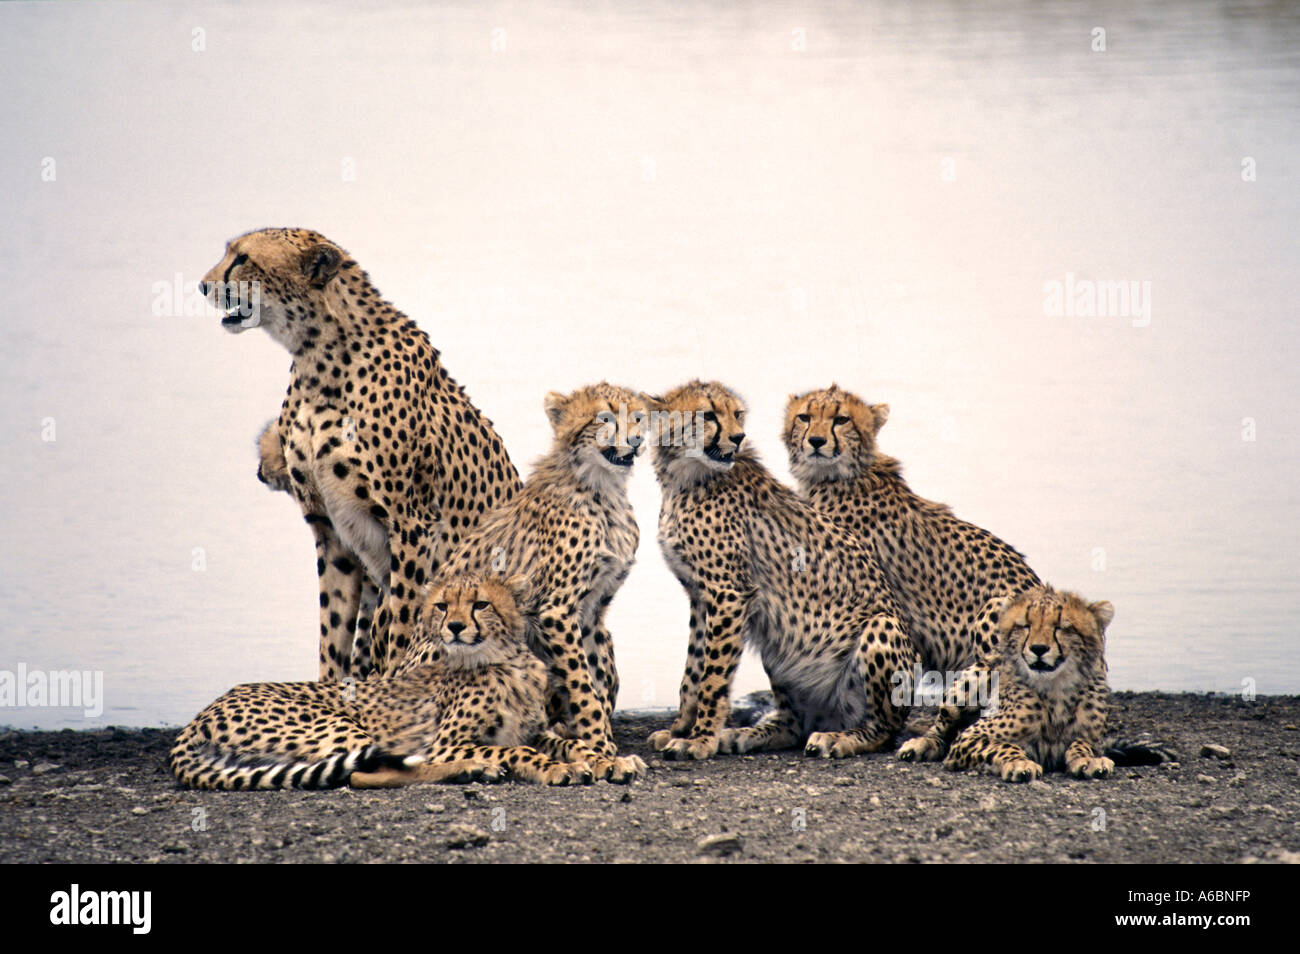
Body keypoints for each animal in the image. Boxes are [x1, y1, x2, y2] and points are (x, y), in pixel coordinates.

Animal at [168, 574, 624, 789]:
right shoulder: (445, 742)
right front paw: (554, 768)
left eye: (480, 604)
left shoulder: (536, 729)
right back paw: (472, 769)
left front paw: (608, 761)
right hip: (342, 727)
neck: (504, 663)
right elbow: (516, 751)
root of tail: (201, 714)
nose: (454, 627)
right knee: (363, 773)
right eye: (442, 606)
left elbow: (569, 742)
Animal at [201, 228, 522, 681]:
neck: (317, 358)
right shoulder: (330, 529)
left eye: (243, 258)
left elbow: (404, 619)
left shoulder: (411, 524)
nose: (203, 285)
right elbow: (332, 630)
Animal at [397, 382, 648, 779]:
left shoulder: (592, 613)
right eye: (605, 418)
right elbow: (584, 689)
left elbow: (594, 682)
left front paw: (601, 749)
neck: (603, 489)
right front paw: (603, 754)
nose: (637, 440)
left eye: (637, 417)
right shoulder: (556, 611)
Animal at [646, 380, 920, 762]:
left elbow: (713, 676)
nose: (738, 437)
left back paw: (842, 739)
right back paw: (746, 734)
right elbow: (693, 670)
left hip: (880, 627)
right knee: (793, 727)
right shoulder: (701, 596)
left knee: (883, 728)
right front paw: (682, 729)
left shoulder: (728, 595)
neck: (687, 476)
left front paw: (699, 740)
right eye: (707, 415)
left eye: (737, 414)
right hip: (779, 640)